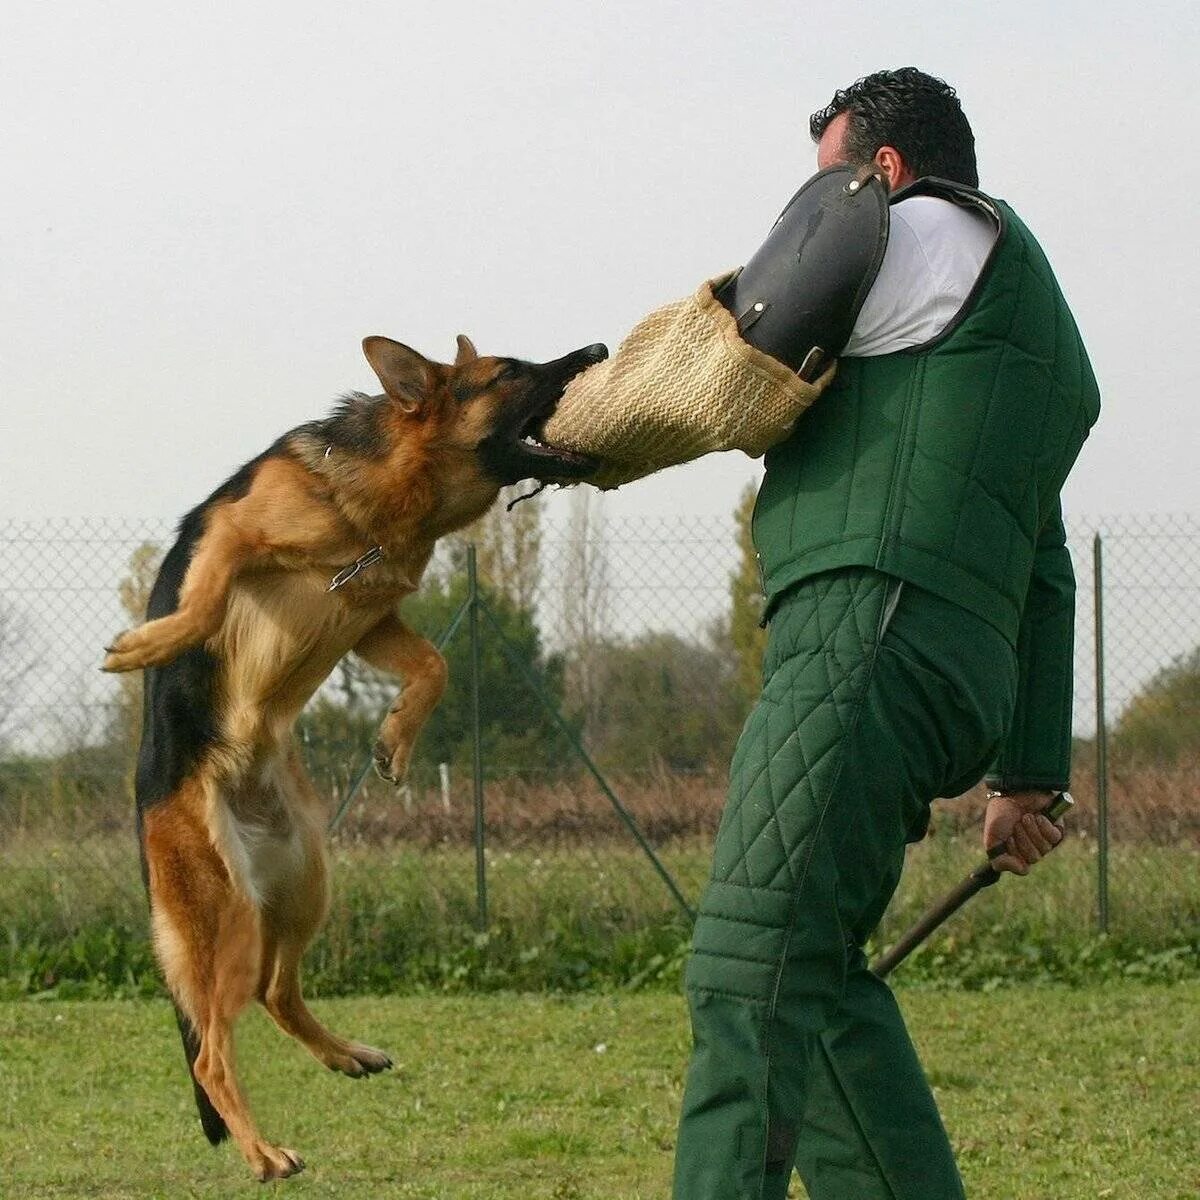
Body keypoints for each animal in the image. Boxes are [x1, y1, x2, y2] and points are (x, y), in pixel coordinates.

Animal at [102, 333, 604, 1176]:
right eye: (509, 373)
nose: (597, 347)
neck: (387, 494)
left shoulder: (373, 617)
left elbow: (436, 664)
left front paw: (395, 740)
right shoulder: (232, 535)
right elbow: (202, 602)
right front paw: (152, 642)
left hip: (306, 886)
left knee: (276, 994)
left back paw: (347, 1055)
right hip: (228, 919)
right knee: (211, 1052)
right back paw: (263, 1153)